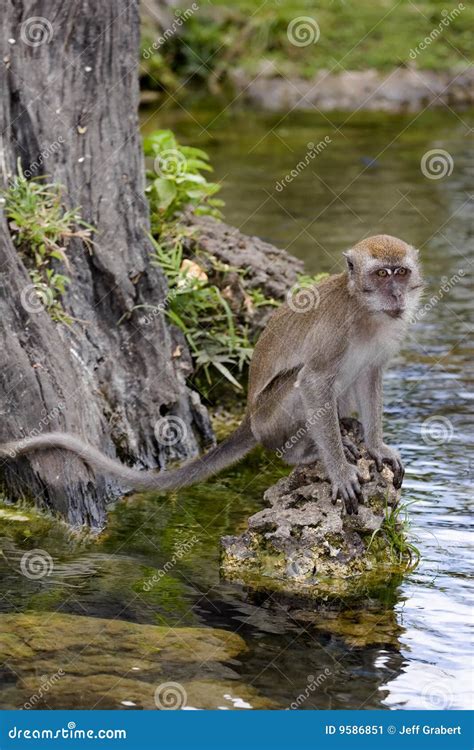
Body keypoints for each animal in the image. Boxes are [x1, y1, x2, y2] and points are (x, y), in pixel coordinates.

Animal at [0, 234, 423, 515]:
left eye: (400, 273)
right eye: (382, 274)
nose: (397, 296)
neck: (366, 312)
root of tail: (250, 419)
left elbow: (370, 375)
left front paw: (376, 447)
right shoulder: (334, 331)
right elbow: (314, 382)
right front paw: (339, 471)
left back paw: (348, 427)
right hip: (270, 419)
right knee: (297, 385)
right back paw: (303, 453)